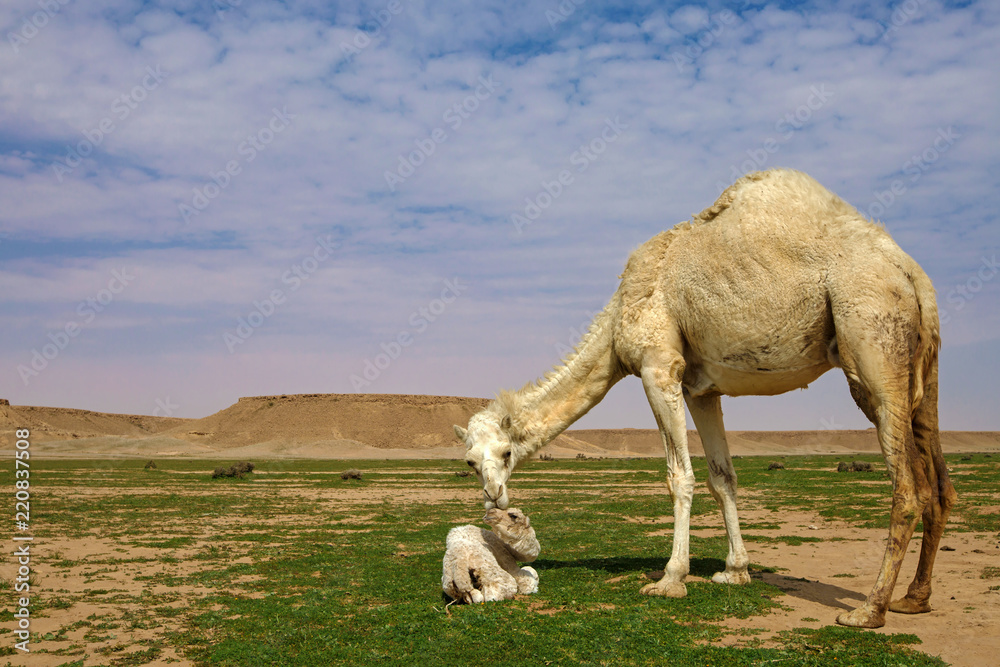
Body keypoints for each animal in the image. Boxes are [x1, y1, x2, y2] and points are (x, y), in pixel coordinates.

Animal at [453, 169, 956, 628]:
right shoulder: (701, 389)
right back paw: (915, 598)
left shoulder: (659, 367)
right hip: (922, 371)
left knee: (907, 487)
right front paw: (735, 571)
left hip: (871, 340)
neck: (618, 320)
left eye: (505, 452)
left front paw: (670, 579)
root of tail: (914, 274)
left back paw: (869, 610)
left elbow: (680, 477)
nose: (493, 495)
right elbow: (722, 477)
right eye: (470, 461)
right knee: (939, 484)